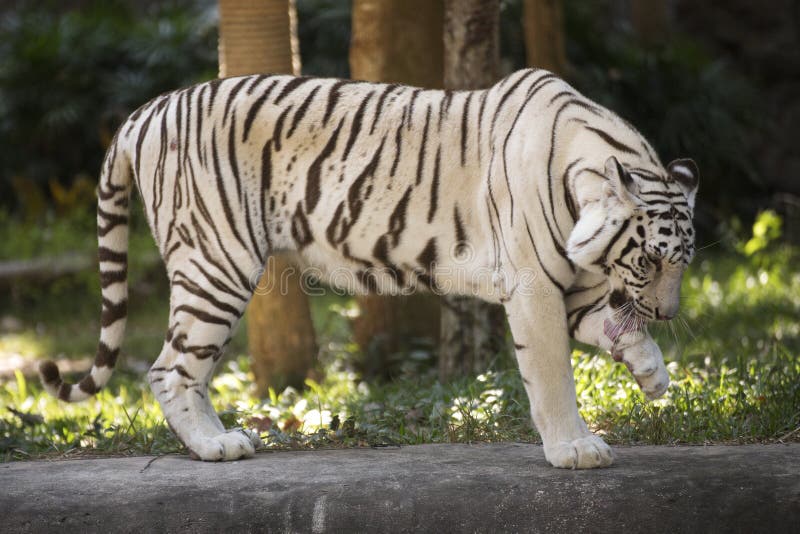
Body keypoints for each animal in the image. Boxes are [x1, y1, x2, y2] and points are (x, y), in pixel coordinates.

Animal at [39, 68, 698, 469]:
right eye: (649, 259)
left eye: (681, 265)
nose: (669, 312)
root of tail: (144, 111)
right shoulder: (533, 286)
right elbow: (553, 371)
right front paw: (575, 449)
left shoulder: (576, 286)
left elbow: (613, 326)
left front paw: (652, 373)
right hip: (215, 263)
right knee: (171, 369)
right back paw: (216, 446)